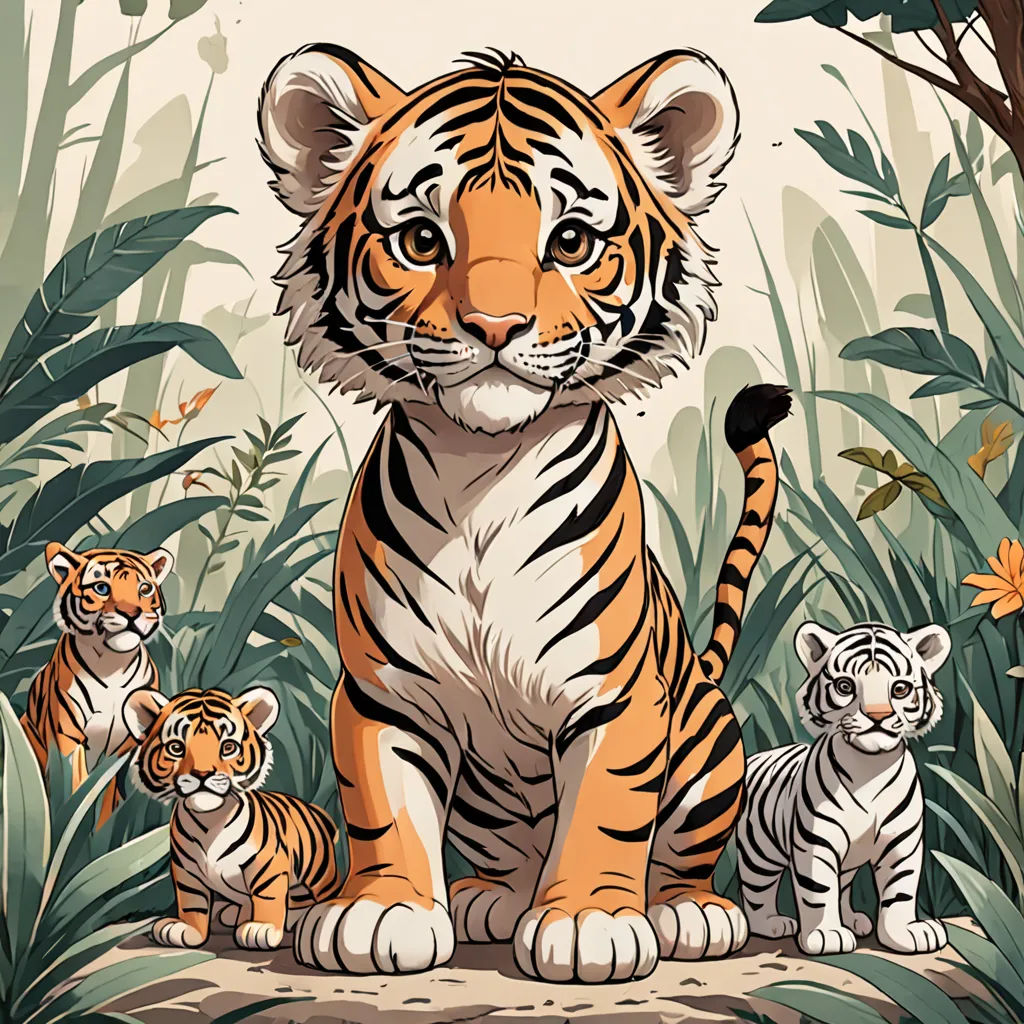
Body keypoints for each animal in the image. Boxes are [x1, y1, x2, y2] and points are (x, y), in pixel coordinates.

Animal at [21, 542, 173, 825]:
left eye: (144, 588)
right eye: (102, 588)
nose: (131, 614)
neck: (113, 664)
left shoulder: (123, 748)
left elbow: (105, 799)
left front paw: (100, 829)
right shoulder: (69, 739)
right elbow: (75, 790)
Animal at [124, 687, 343, 951]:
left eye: (228, 747)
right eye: (176, 748)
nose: (202, 774)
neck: (210, 820)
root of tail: (315, 810)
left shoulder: (268, 864)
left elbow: (268, 896)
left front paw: (261, 929)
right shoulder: (186, 869)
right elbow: (192, 901)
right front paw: (186, 930)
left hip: (318, 874)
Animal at [257, 44, 792, 981]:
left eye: (570, 241)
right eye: (422, 240)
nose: (496, 325)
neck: (484, 469)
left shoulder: (616, 694)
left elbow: (608, 808)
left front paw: (588, 924)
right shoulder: (382, 692)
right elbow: (383, 804)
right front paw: (385, 912)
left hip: (709, 746)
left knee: (682, 853)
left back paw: (686, 912)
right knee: (504, 853)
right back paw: (491, 899)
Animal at [737, 621, 950, 956]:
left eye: (899, 689)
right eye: (845, 687)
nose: (878, 717)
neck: (870, 768)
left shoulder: (903, 841)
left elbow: (900, 890)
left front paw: (906, 934)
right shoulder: (816, 841)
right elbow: (818, 889)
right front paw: (826, 936)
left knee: (844, 885)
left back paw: (852, 920)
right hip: (759, 851)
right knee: (756, 889)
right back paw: (771, 923)